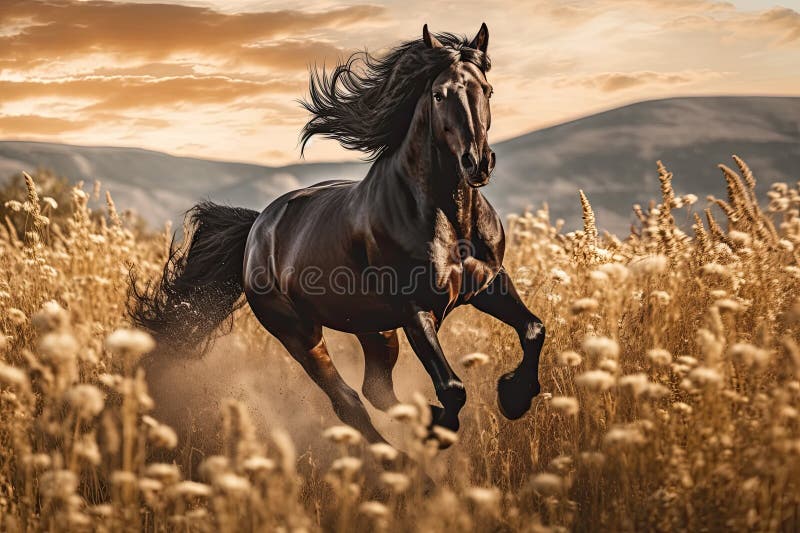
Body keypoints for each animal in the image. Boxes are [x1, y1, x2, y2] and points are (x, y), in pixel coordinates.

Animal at [130, 23, 545, 447]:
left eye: (487, 90)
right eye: (438, 94)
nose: (477, 163)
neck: (450, 221)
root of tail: (256, 229)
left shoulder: (488, 283)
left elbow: (533, 330)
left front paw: (513, 398)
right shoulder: (417, 310)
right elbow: (452, 387)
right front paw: (443, 430)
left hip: (375, 328)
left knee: (375, 389)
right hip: (301, 334)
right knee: (348, 400)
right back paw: (394, 453)